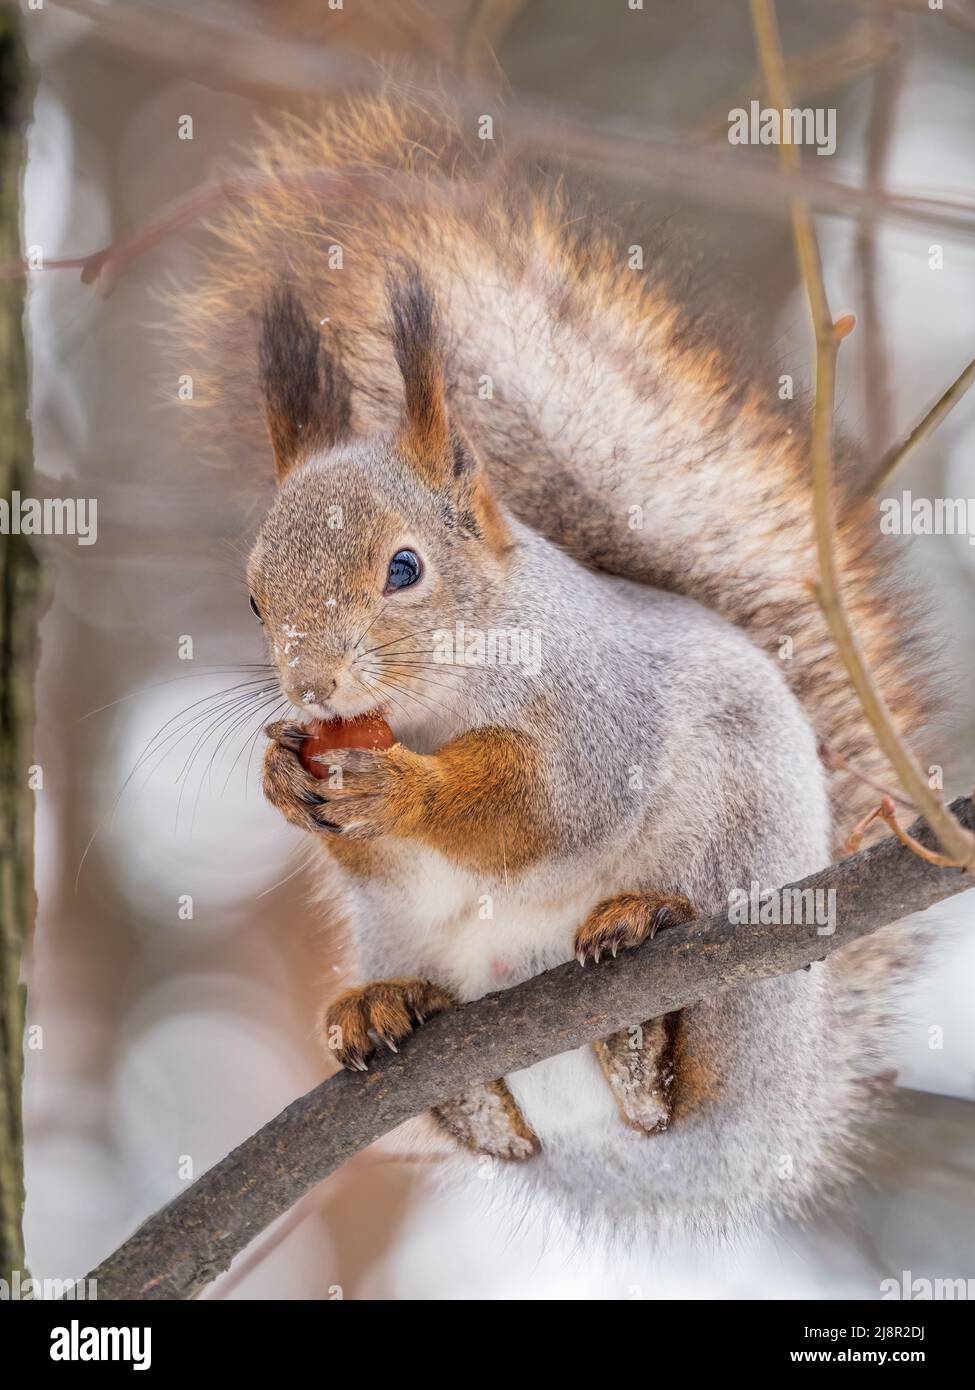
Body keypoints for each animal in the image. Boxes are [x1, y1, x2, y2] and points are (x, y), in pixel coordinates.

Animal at [173, 88, 932, 1233]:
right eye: (254, 595)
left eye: (405, 567)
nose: (310, 689)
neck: (436, 696)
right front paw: (280, 775)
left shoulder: (597, 708)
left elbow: (549, 803)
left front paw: (405, 789)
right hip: (408, 949)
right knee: (513, 1131)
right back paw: (410, 1030)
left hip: (747, 920)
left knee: (684, 1084)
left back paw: (640, 1009)